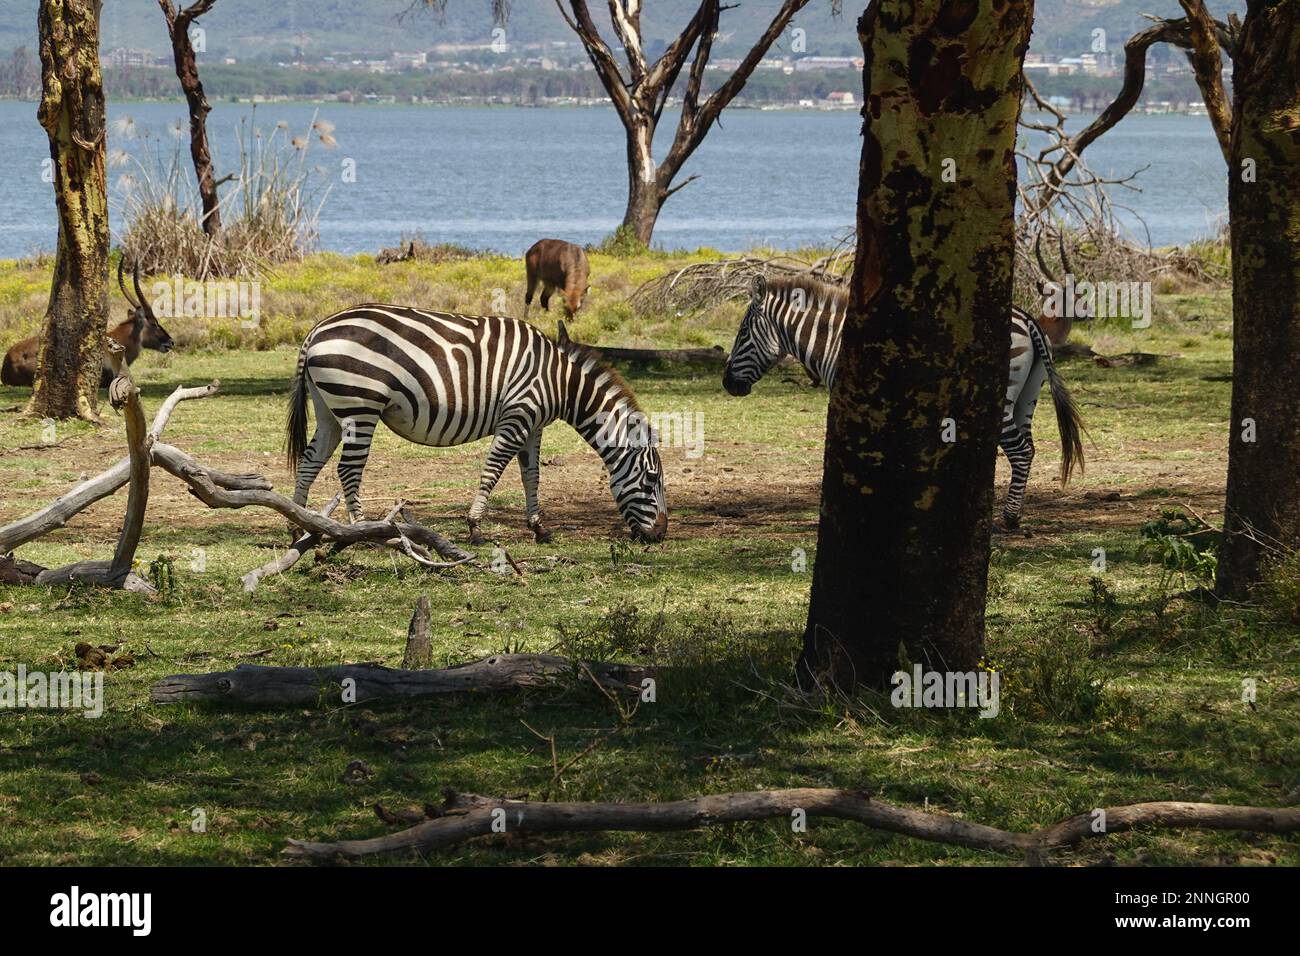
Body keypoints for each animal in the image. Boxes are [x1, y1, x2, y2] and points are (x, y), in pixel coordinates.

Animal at [286, 305, 668, 544]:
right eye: (652, 480)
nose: (661, 535)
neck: (560, 383)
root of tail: (316, 330)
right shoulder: (518, 415)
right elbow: (493, 471)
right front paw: (475, 528)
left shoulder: (534, 425)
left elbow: (532, 476)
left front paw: (539, 529)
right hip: (360, 406)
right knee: (348, 469)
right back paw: (363, 531)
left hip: (329, 410)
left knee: (309, 460)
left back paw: (297, 527)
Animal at [721, 272, 1084, 530]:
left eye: (742, 334)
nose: (727, 384)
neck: (837, 341)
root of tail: (1029, 320)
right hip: (1027, 396)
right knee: (1030, 447)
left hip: (1001, 397)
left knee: (1021, 451)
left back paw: (1008, 518)